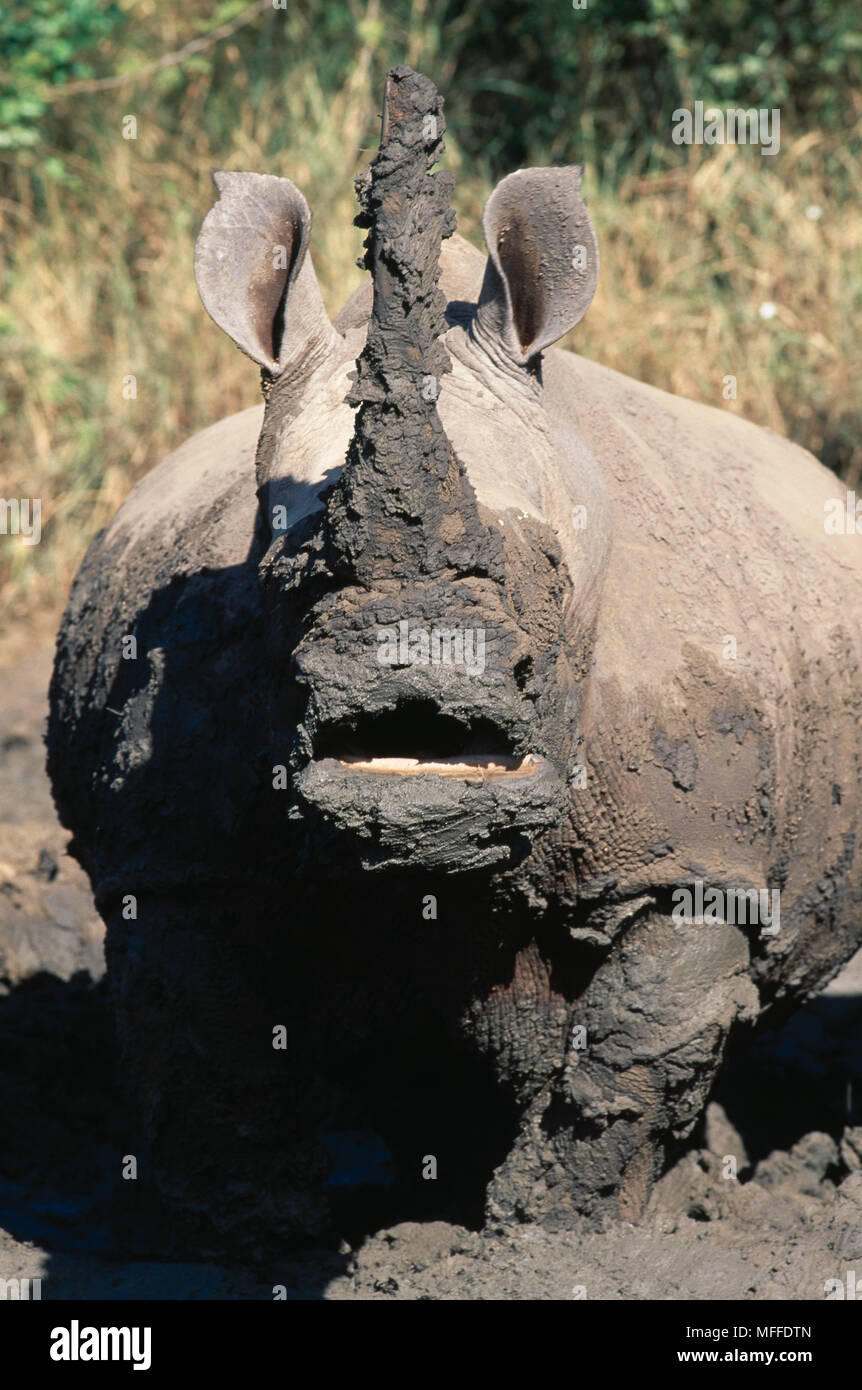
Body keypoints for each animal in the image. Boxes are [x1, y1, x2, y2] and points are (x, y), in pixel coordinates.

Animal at [48, 67, 862, 1257]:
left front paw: (562, 1234)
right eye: (291, 566)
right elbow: (206, 1036)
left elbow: (635, 1041)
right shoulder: (175, 846)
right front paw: (244, 1232)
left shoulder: (695, 855)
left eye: (542, 578)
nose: (408, 682)